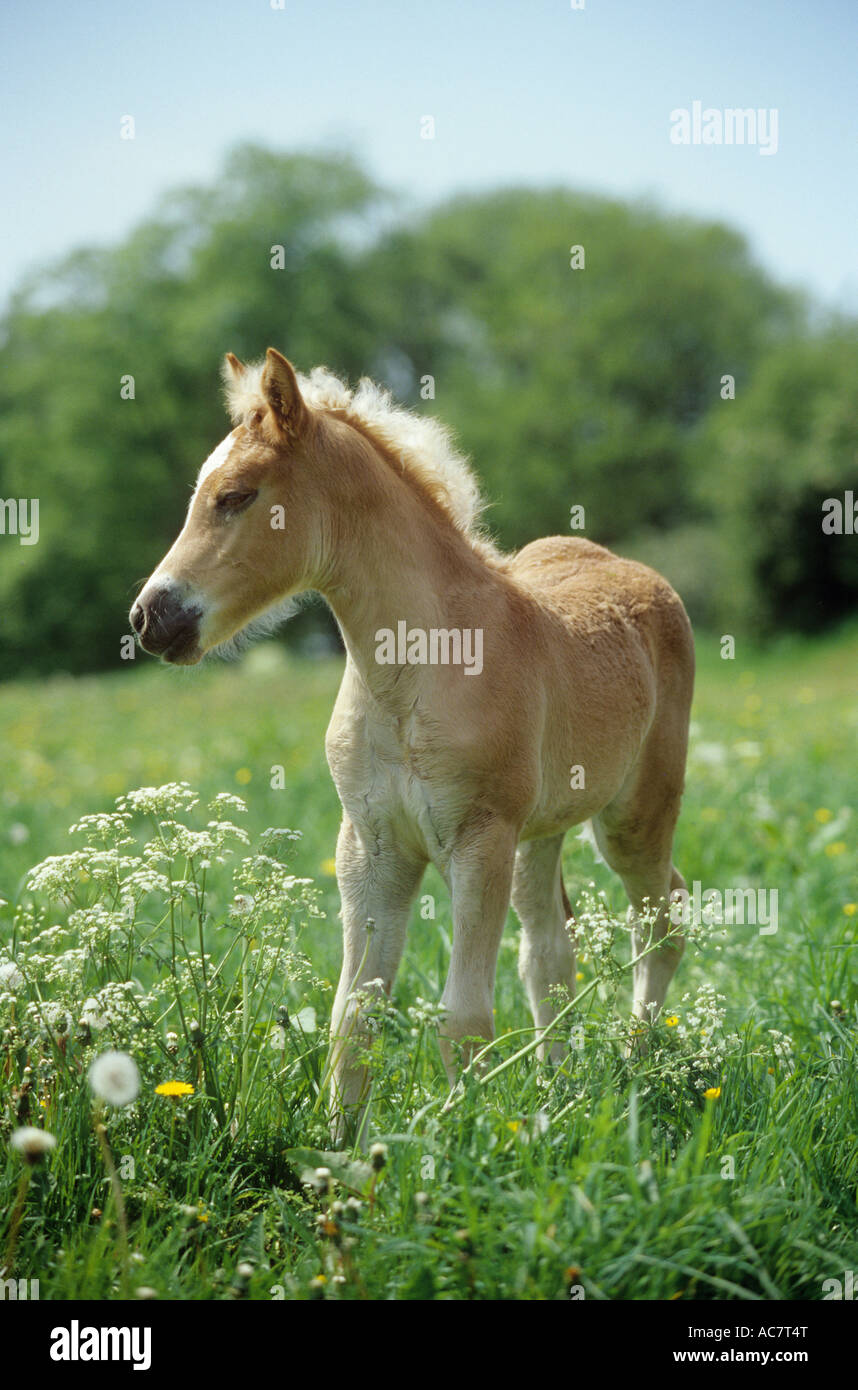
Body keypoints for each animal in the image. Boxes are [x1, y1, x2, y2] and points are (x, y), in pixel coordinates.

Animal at [130, 348, 695, 1140]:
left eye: (236, 496)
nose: (151, 618)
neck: (407, 674)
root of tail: (634, 569)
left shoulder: (478, 838)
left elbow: (463, 1018)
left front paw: (468, 1141)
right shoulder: (371, 847)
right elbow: (353, 1014)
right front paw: (338, 1146)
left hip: (633, 813)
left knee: (663, 916)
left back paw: (638, 1062)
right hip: (543, 828)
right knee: (550, 947)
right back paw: (558, 1089)